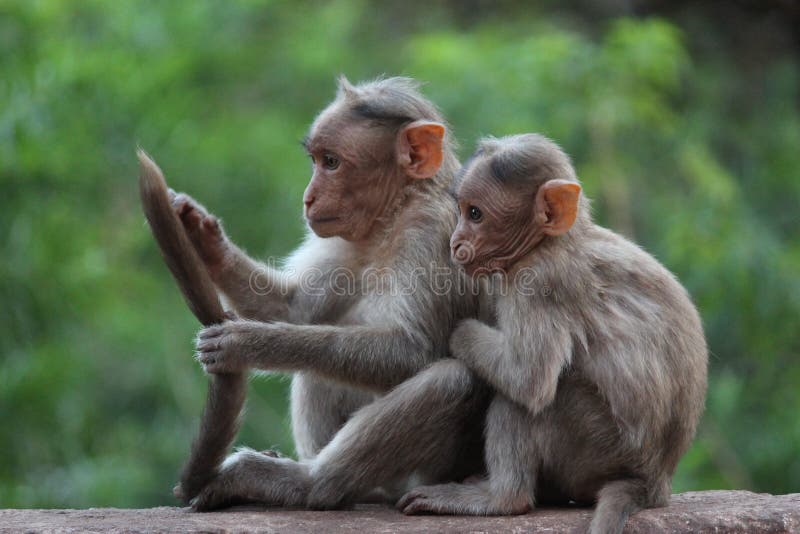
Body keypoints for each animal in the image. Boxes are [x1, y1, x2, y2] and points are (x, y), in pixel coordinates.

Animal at [169, 77, 491, 510]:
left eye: (332, 162)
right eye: (316, 160)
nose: (309, 197)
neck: (393, 216)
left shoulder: (433, 235)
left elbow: (416, 350)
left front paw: (250, 342)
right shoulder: (346, 238)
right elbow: (297, 311)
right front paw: (201, 237)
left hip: (439, 470)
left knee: (452, 380)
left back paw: (307, 484)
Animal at [396, 134, 708, 534]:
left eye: (475, 214)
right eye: (462, 209)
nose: (455, 240)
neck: (550, 243)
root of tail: (653, 482)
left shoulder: (539, 283)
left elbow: (528, 378)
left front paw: (460, 331)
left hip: (596, 449)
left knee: (535, 396)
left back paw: (502, 498)